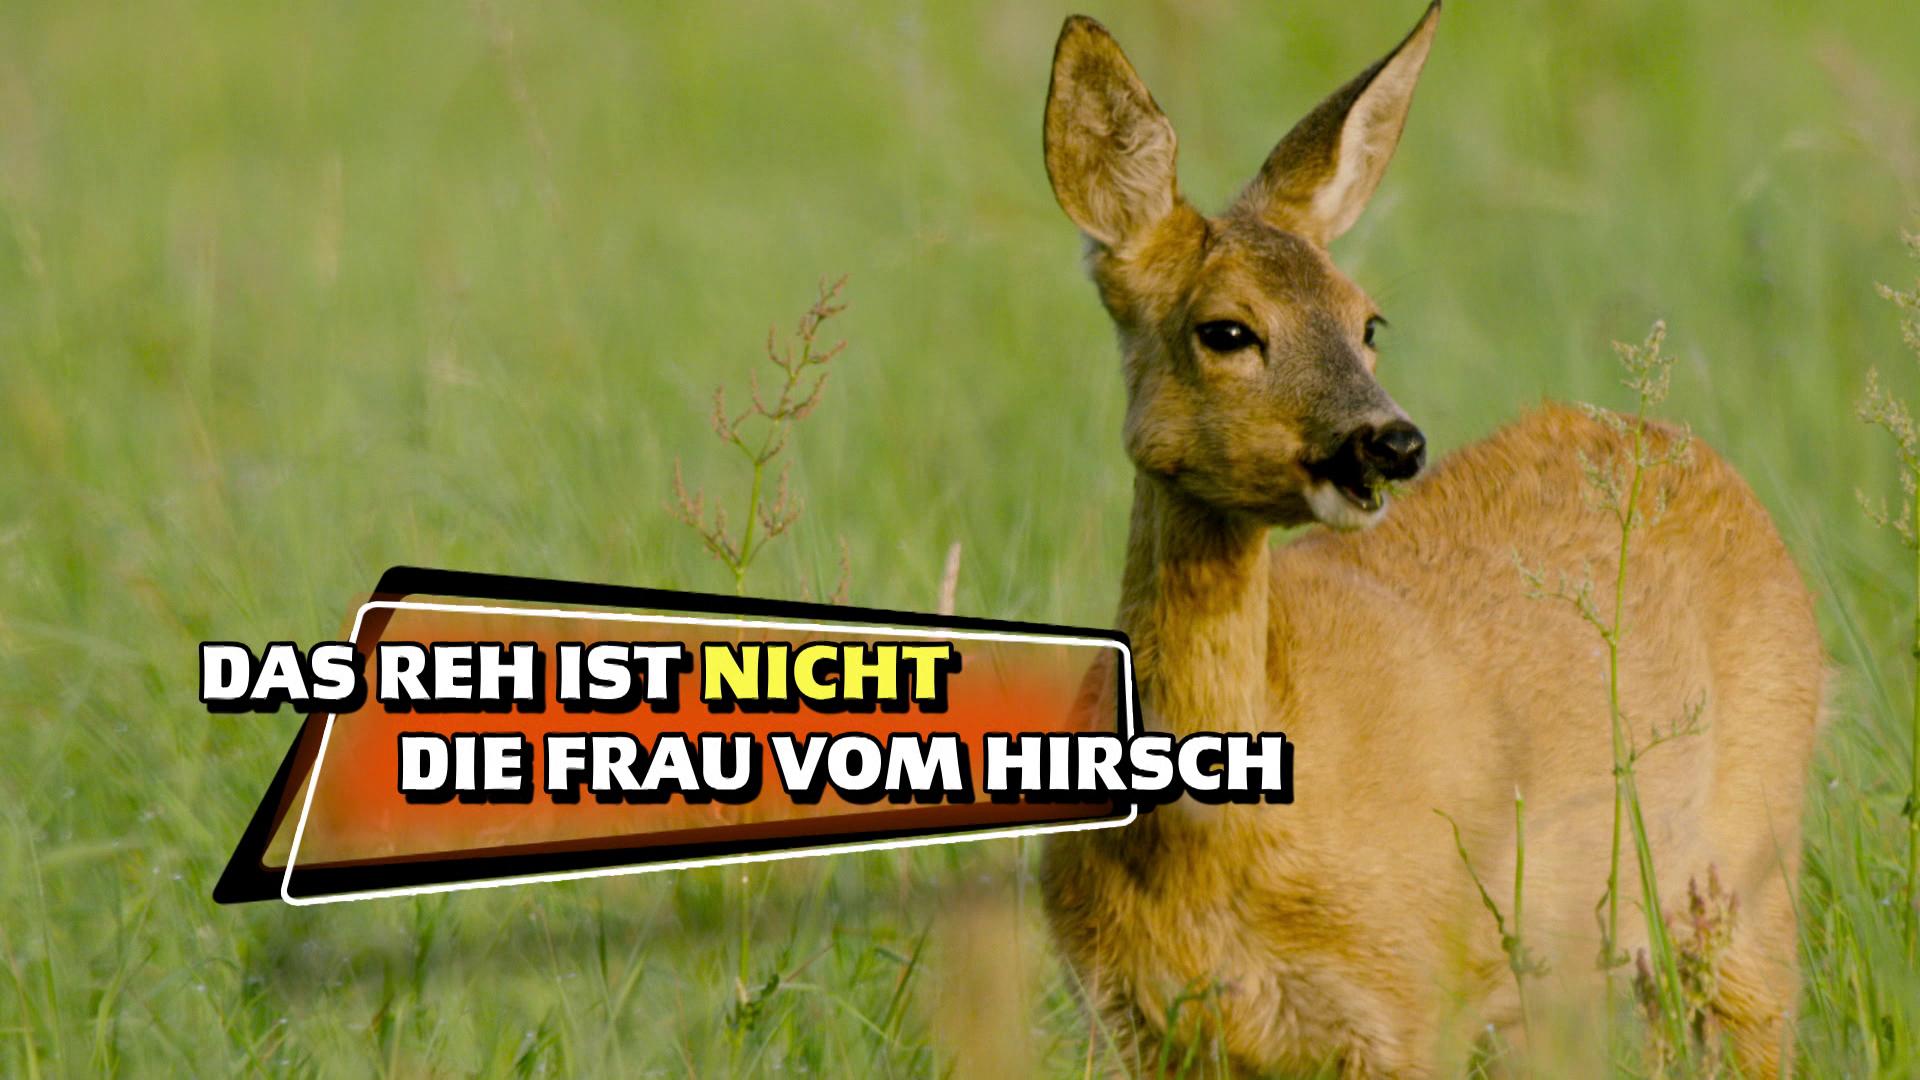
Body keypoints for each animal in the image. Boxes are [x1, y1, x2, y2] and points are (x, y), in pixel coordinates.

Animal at [1036, 3, 1823, 1075]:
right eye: (1227, 329)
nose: (1391, 442)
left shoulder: (1411, 1000)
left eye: (1369, 321)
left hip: (1747, 872)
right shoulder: (1126, 1019)